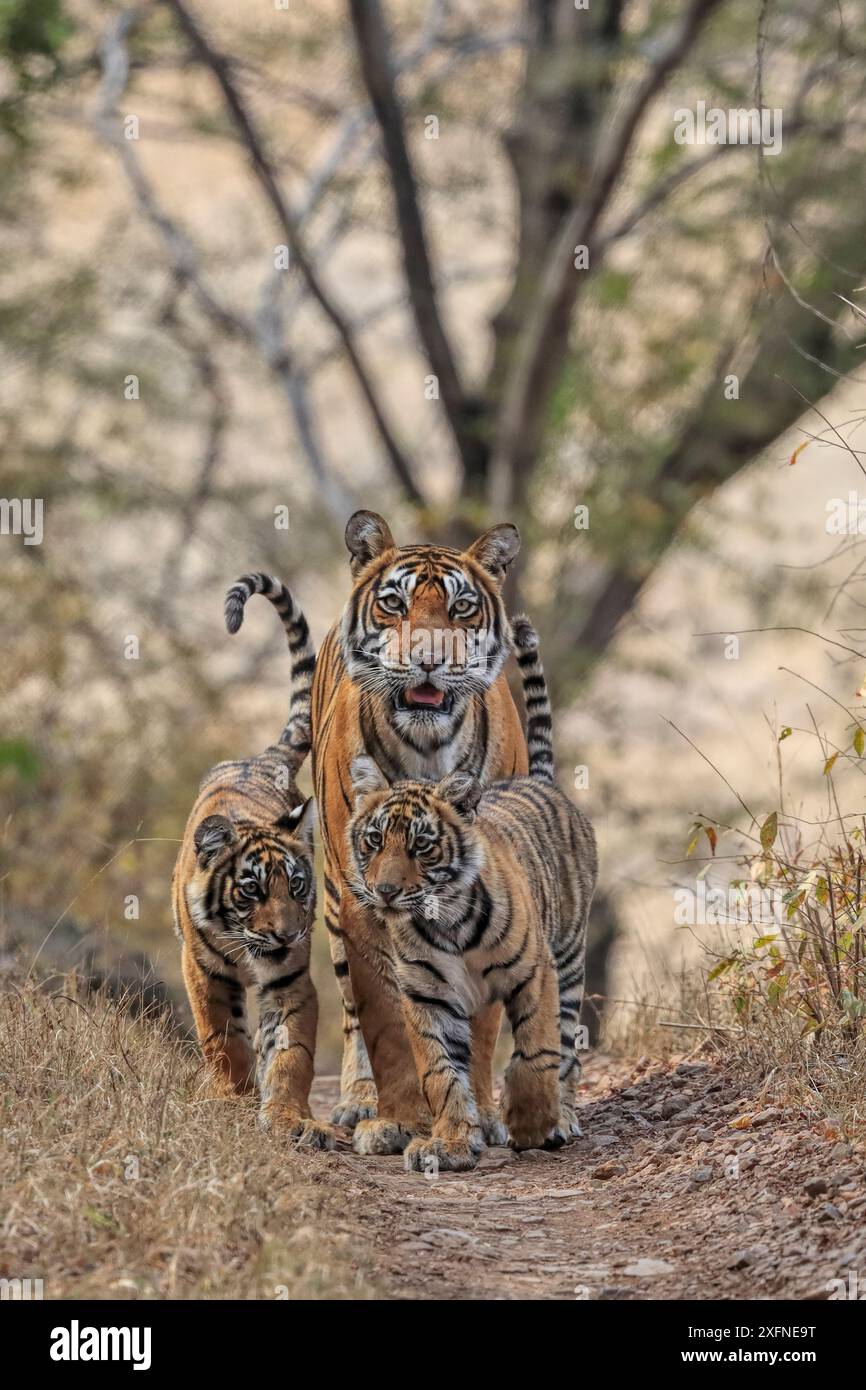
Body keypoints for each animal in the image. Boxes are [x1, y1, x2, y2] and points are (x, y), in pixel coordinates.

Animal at [172, 572, 334, 1148]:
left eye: (297, 887)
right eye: (251, 890)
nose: (285, 934)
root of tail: (262, 757)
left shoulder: (290, 979)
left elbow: (292, 1052)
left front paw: (289, 1118)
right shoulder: (203, 970)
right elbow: (223, 1037)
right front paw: (231, 1098)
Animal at [310, 510, 529, 1154]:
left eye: (460, 609)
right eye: (394, 604)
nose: (429, 657)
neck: (429, 746)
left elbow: (480, 1024)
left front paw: (480, 1113)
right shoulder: (362, 900)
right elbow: (386, 1020)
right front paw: (400, 1120)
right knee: (352, 1014)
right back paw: (358, 1101)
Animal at [345, 615, 597, 1171]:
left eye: (421, 845)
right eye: (374, 840)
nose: (385, 891)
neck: (446, 920)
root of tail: (540, 781)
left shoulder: (535, 972)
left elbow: (536, 1053)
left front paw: (530, 1122)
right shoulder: (427, 995)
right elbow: (441, 1074)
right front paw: (451, 1143)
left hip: (570, 957)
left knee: (567, 1051)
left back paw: (564, 1118)